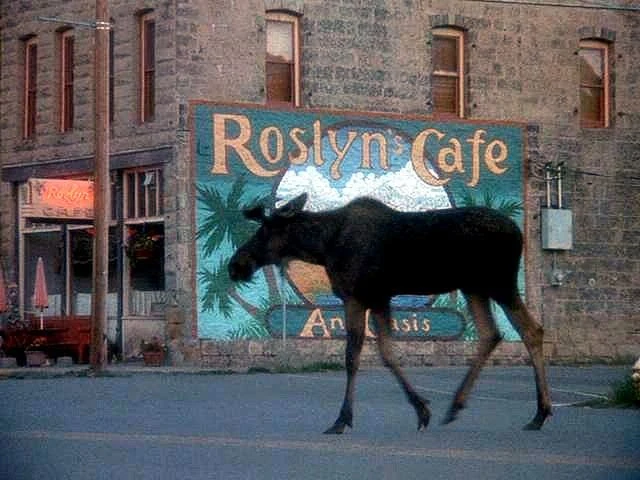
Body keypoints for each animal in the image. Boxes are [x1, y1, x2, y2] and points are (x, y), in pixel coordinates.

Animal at [228, 193, 552, 433]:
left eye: (263, 231)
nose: (236, 265)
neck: (323, 247)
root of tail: (520, 233)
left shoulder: (356, 297)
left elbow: (353, 356)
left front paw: (342, 419)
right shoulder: (379, 298)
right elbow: (387, 352)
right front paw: (422, 410)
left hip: (500, 283)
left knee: (531, 330)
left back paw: (540, 413)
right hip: (474, 287)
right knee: (491, 333)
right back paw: (457, 406)